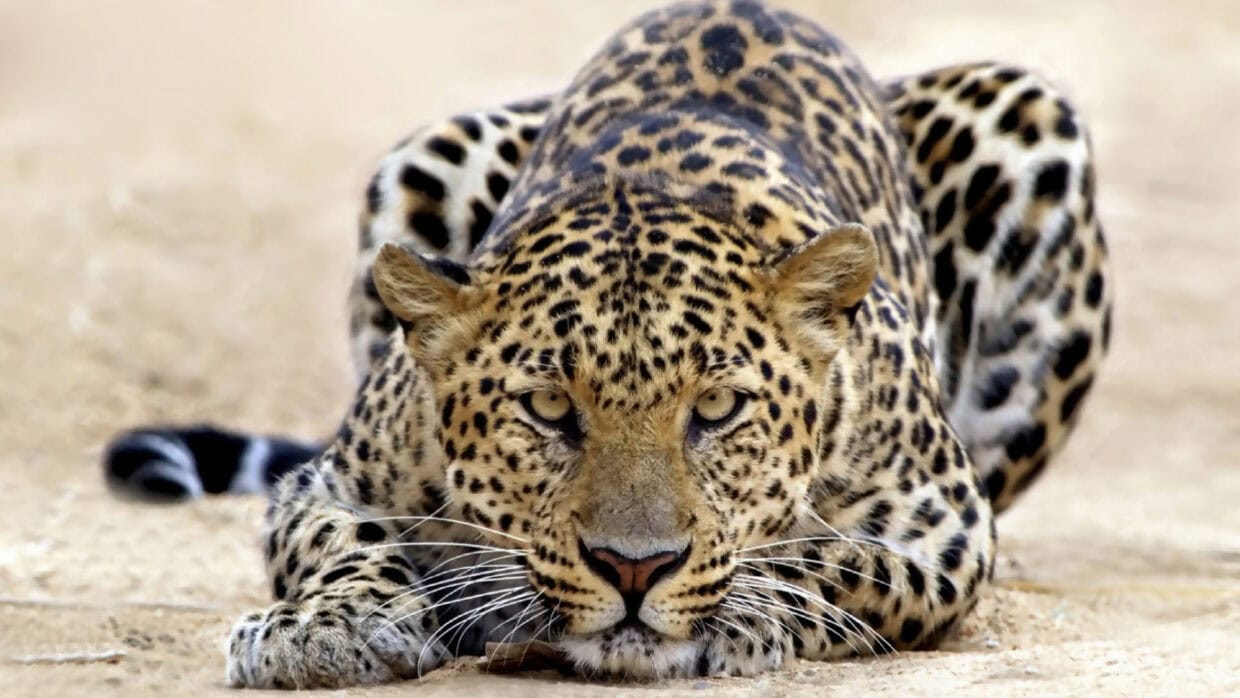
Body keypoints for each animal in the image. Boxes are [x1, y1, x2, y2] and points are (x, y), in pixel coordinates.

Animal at [104, 0, 1111, 687]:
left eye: (718, 409)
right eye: (550, 409)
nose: (634, 568)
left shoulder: (944, 524)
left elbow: (829, 560)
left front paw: (735, 612)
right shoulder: (330, 482)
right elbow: (342, 541)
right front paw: (328, 627)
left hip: (1030, 119)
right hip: (432, 149)